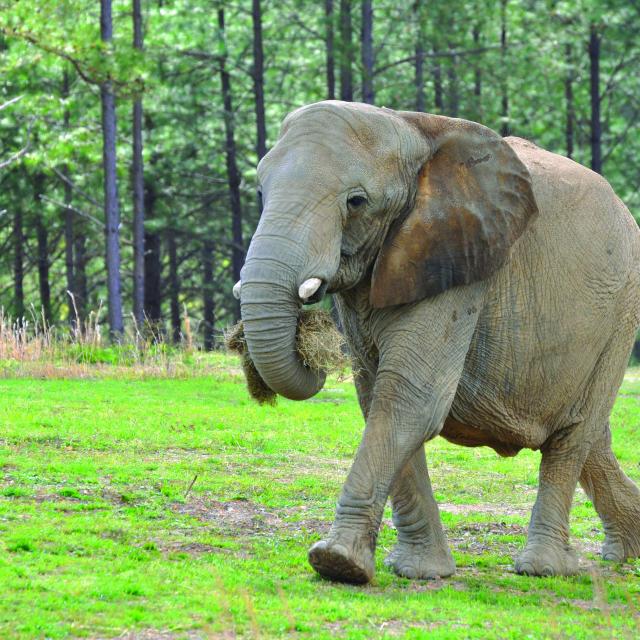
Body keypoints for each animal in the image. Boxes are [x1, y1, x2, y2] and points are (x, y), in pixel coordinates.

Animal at [235, 100, 640, 583]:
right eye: (260, 193)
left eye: (356, 202)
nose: (309, 340)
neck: (410, 129)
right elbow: (377, 397)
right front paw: (419, 572)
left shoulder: (459, 260)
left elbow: (410, 398)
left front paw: (336, 563)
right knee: (594, 438)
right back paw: (623, 554)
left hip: (621, 311)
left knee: (573, 438)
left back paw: (543, 569)